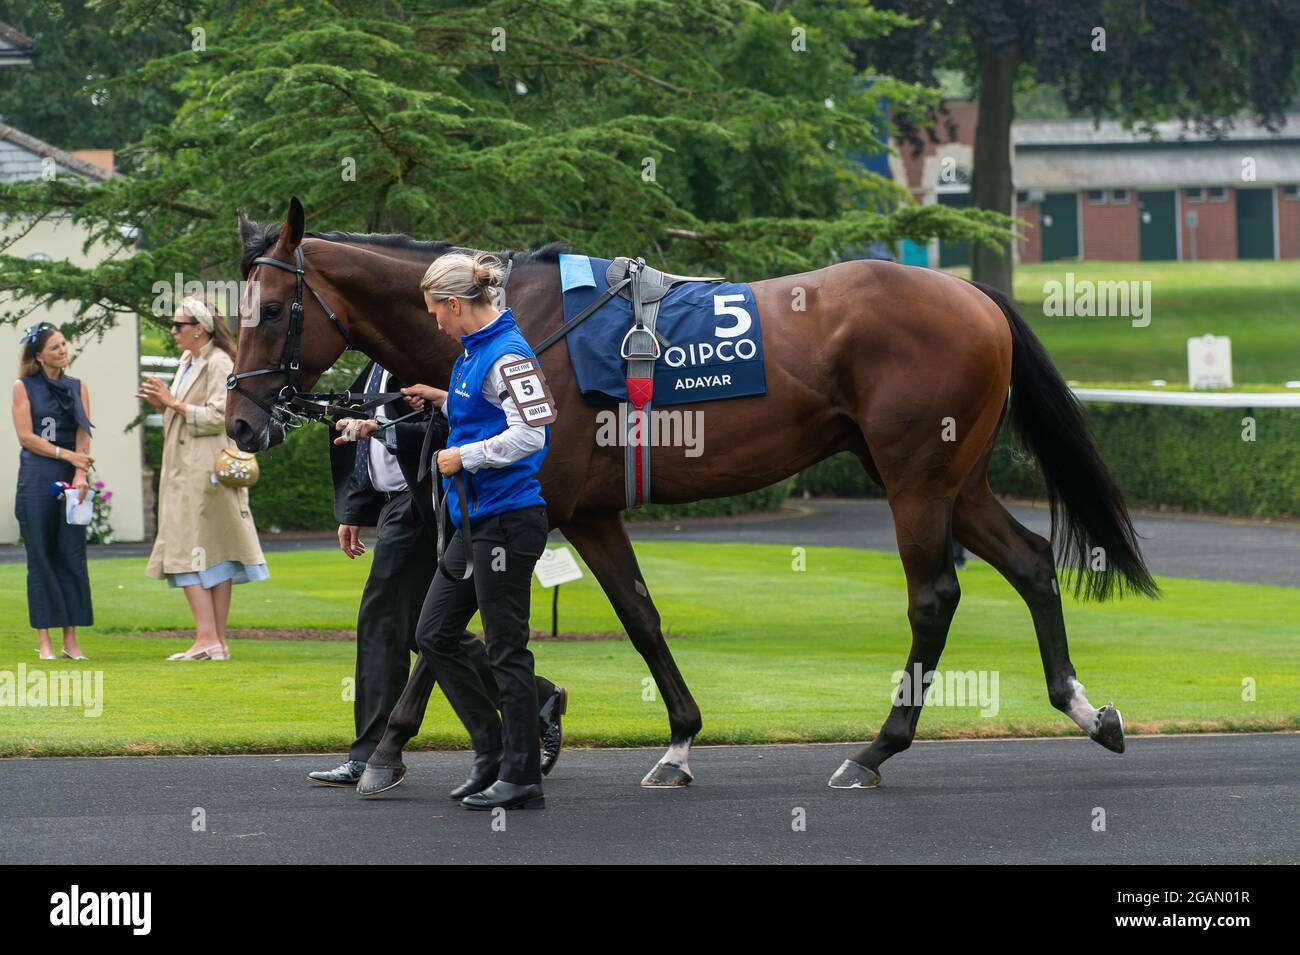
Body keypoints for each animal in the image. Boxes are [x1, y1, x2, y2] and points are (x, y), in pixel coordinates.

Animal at [227, 197, 1157, 789]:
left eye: (270, 308)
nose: (239, 419)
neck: (517, 324)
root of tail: (972, 294)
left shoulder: (533, 502)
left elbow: (443, 629)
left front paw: (387, 750)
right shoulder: (589, 511)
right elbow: (635, 617)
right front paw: (671, 739)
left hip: (916, 476)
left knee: (935, 594)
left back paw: (874, 749)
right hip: (950, 477)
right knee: (1031, 562)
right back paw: (1086, 709)